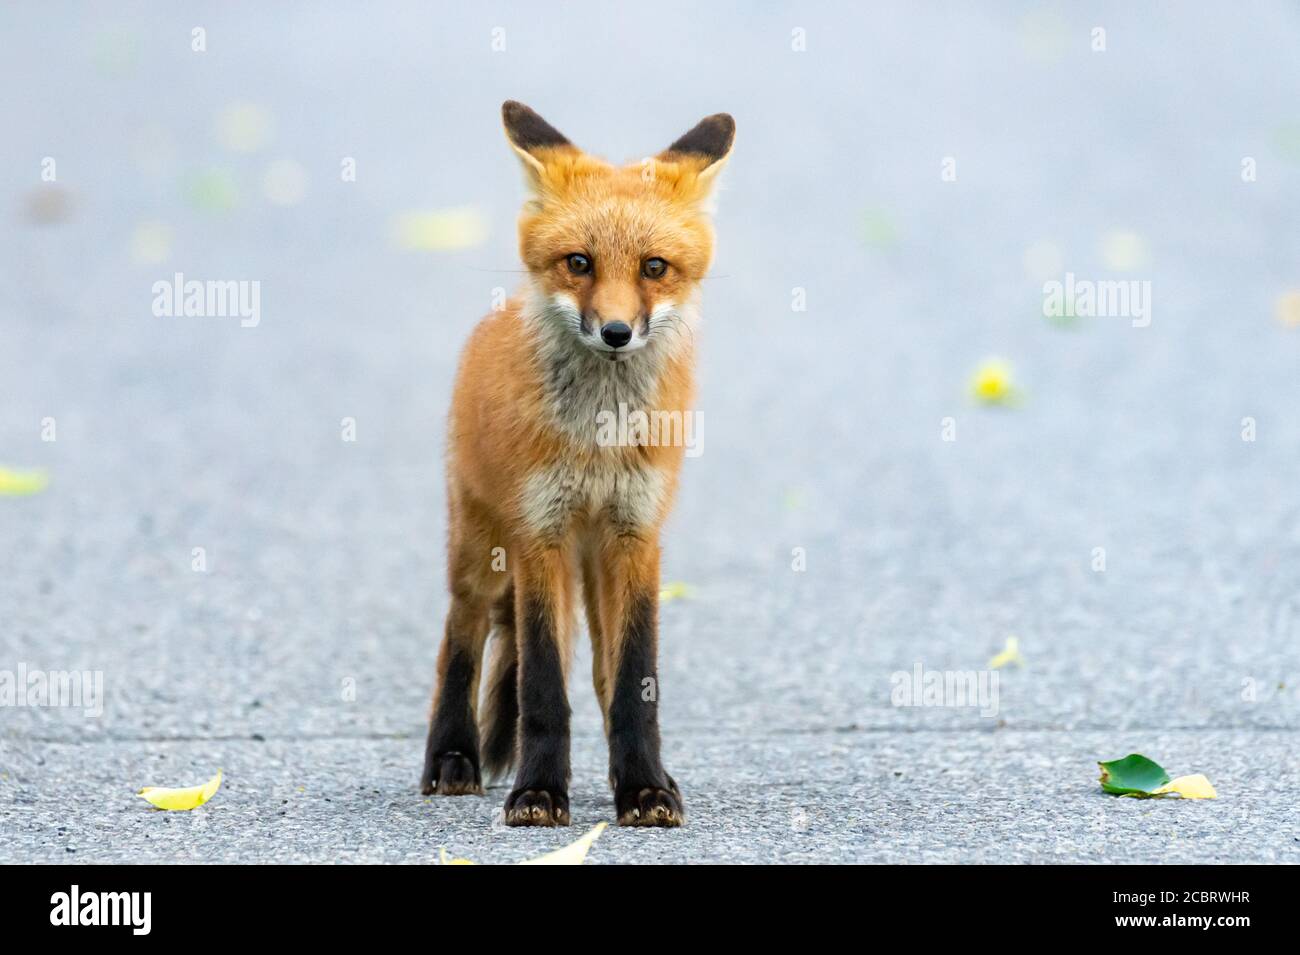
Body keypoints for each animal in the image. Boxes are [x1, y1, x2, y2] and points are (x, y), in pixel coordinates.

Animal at [419, 101, 735, 827]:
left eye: (654, 267)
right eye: (579, 262)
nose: (616, 332)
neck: (600, 439)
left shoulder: (637, 534)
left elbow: (633, 683)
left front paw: (644, 788)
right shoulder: (542, 534)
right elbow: (540, 687)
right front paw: (537, 791)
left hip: (591, 565)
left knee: (597, 673)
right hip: (483, 550)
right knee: (461, 636)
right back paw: (452, 756)